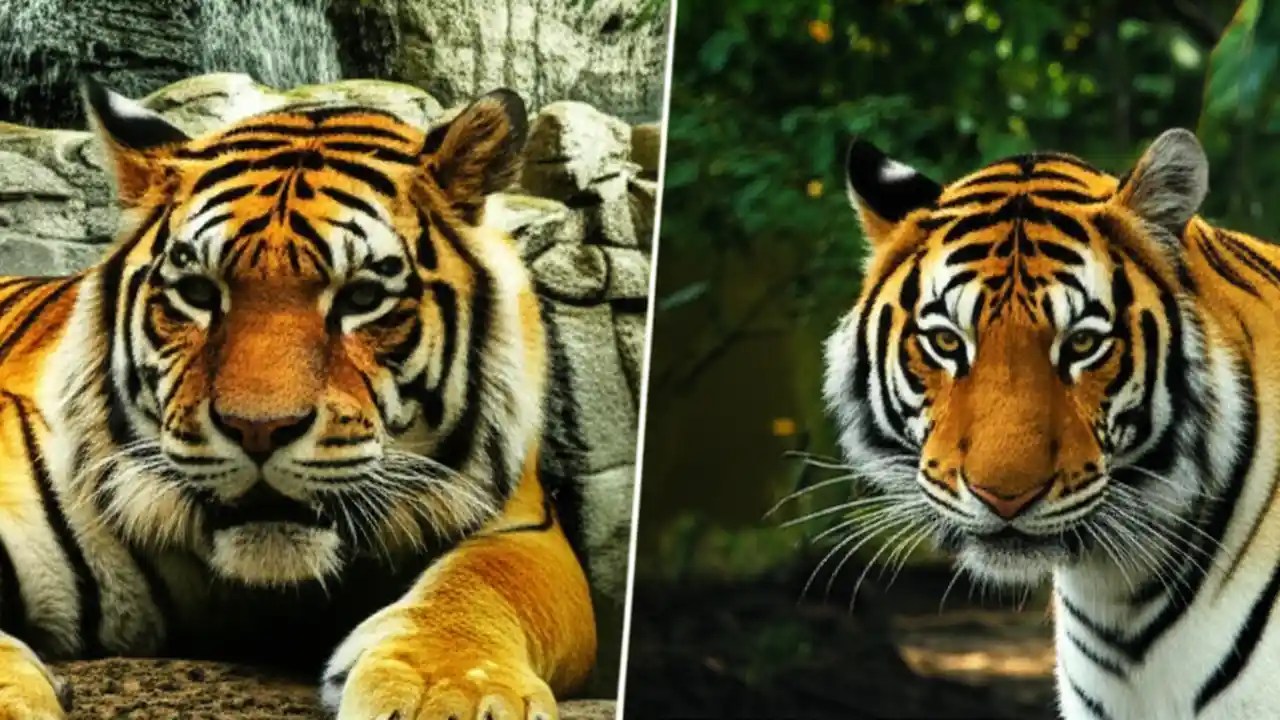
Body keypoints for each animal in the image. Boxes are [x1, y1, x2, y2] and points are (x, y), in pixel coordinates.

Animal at [0, 78, 597, 720]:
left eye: (362, 297)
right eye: (198, 293)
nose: (257, 429)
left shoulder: (525, 528)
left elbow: (480, 584)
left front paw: (448, 692)